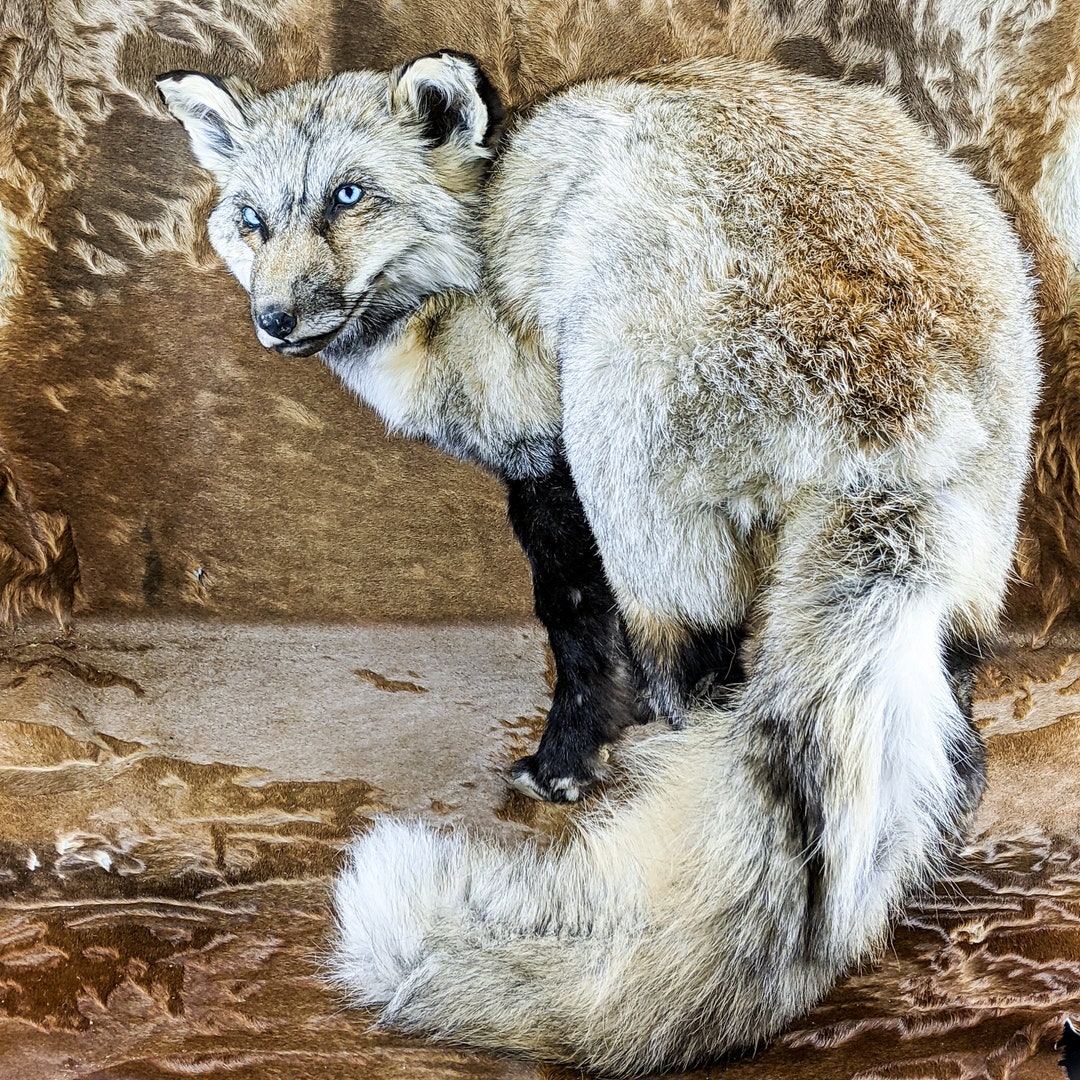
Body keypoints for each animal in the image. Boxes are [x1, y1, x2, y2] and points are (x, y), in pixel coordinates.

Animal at [157, 52, 1040, 1074]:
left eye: (349, 196)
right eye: (250, 219)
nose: (275, 318)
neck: (473, 267)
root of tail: (900, 417)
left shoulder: (551, 461)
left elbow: (575, 632)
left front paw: (567, 760)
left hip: (645, 516)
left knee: (707, 692)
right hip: (961, 580)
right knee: (953, 747)